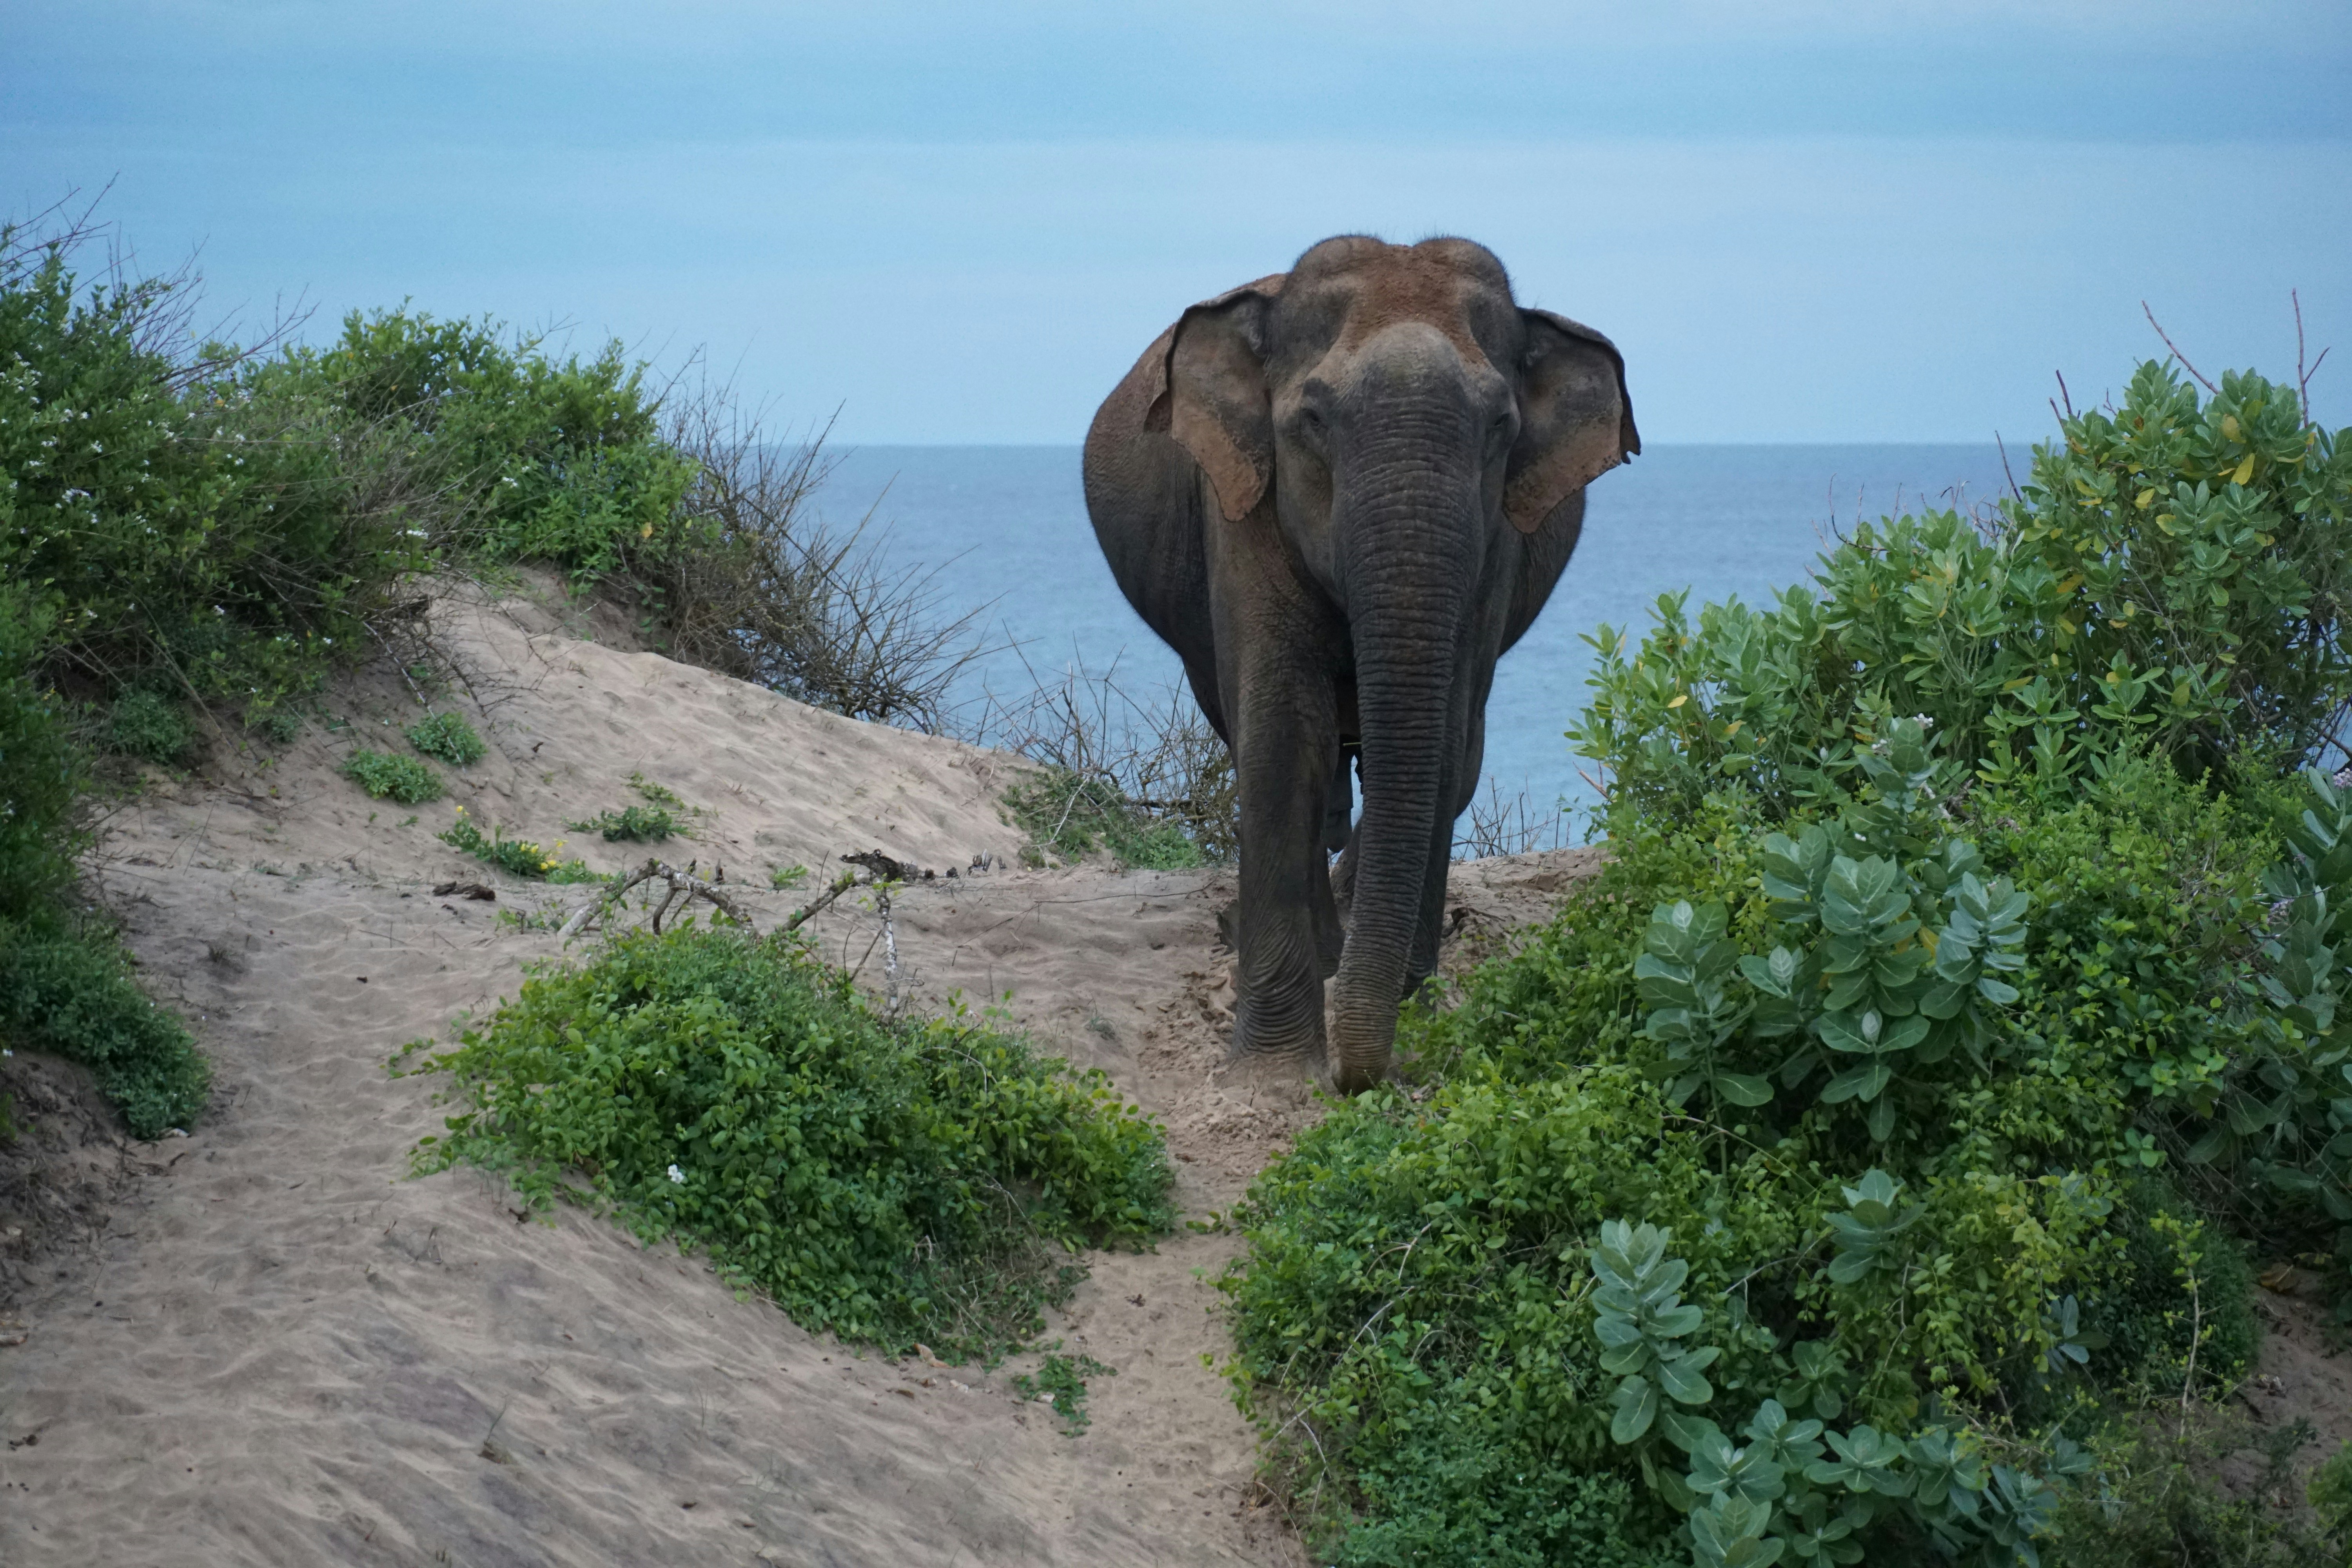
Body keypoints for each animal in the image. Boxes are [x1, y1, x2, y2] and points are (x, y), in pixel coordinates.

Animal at [1082, 235, 1638, 1091]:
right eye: (1313, 419)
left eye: (1501, 426)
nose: (1358, 1075)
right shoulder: (1243, 507)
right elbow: (1284, 736)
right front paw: (1276, 1075)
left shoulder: (1496, 551)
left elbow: (1444, 746)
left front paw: (1409, 1016)